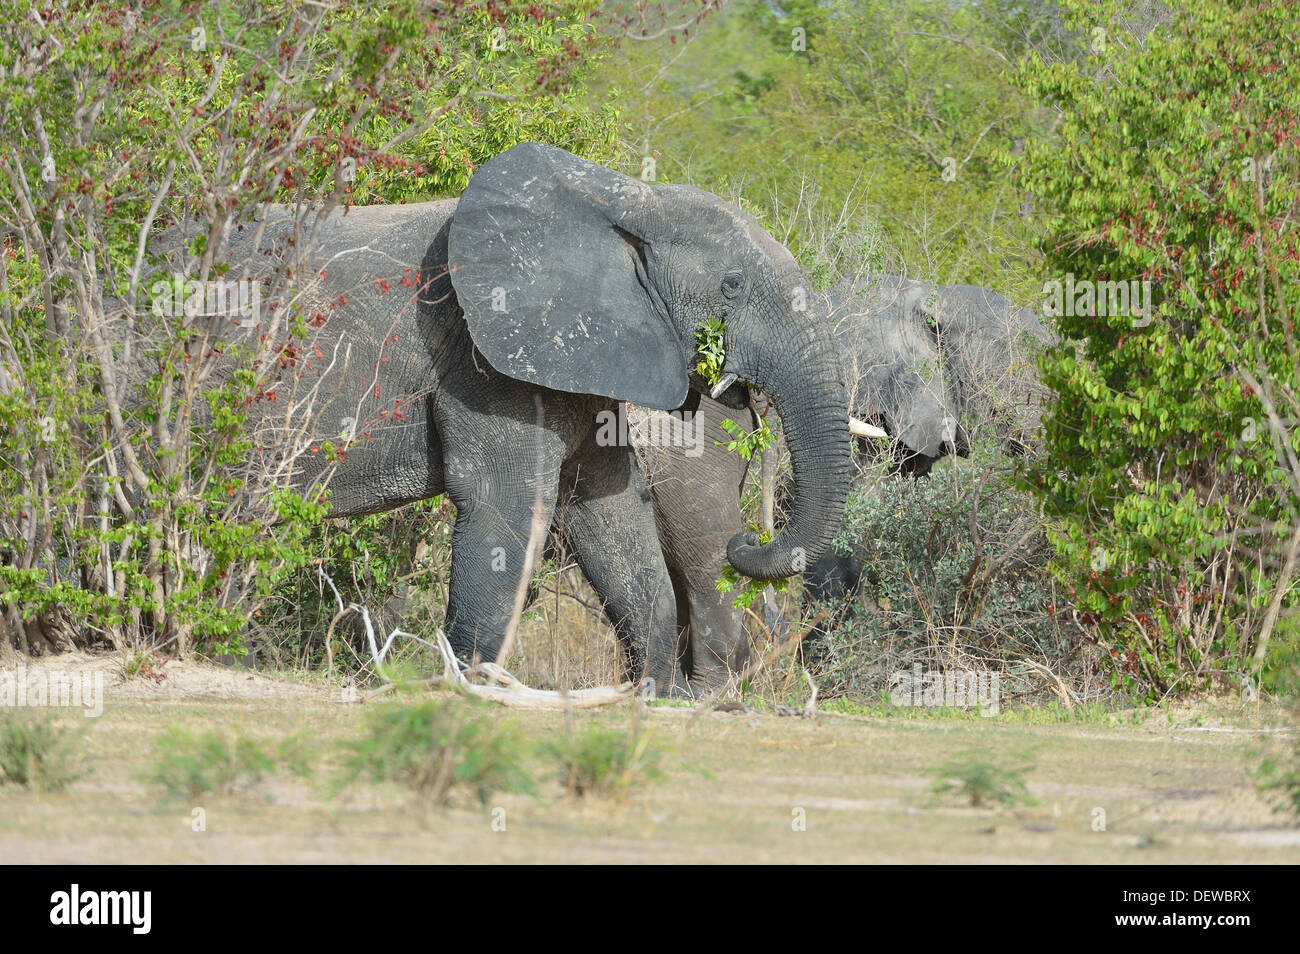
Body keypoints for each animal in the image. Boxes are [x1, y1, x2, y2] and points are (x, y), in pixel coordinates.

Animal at [171, 143, 852, 694]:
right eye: (732, 285)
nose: (747, 542)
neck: (625, 200)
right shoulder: (484, 360)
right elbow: (507, 502)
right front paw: (469, 687)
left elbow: (608, 508)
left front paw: (660, 696)